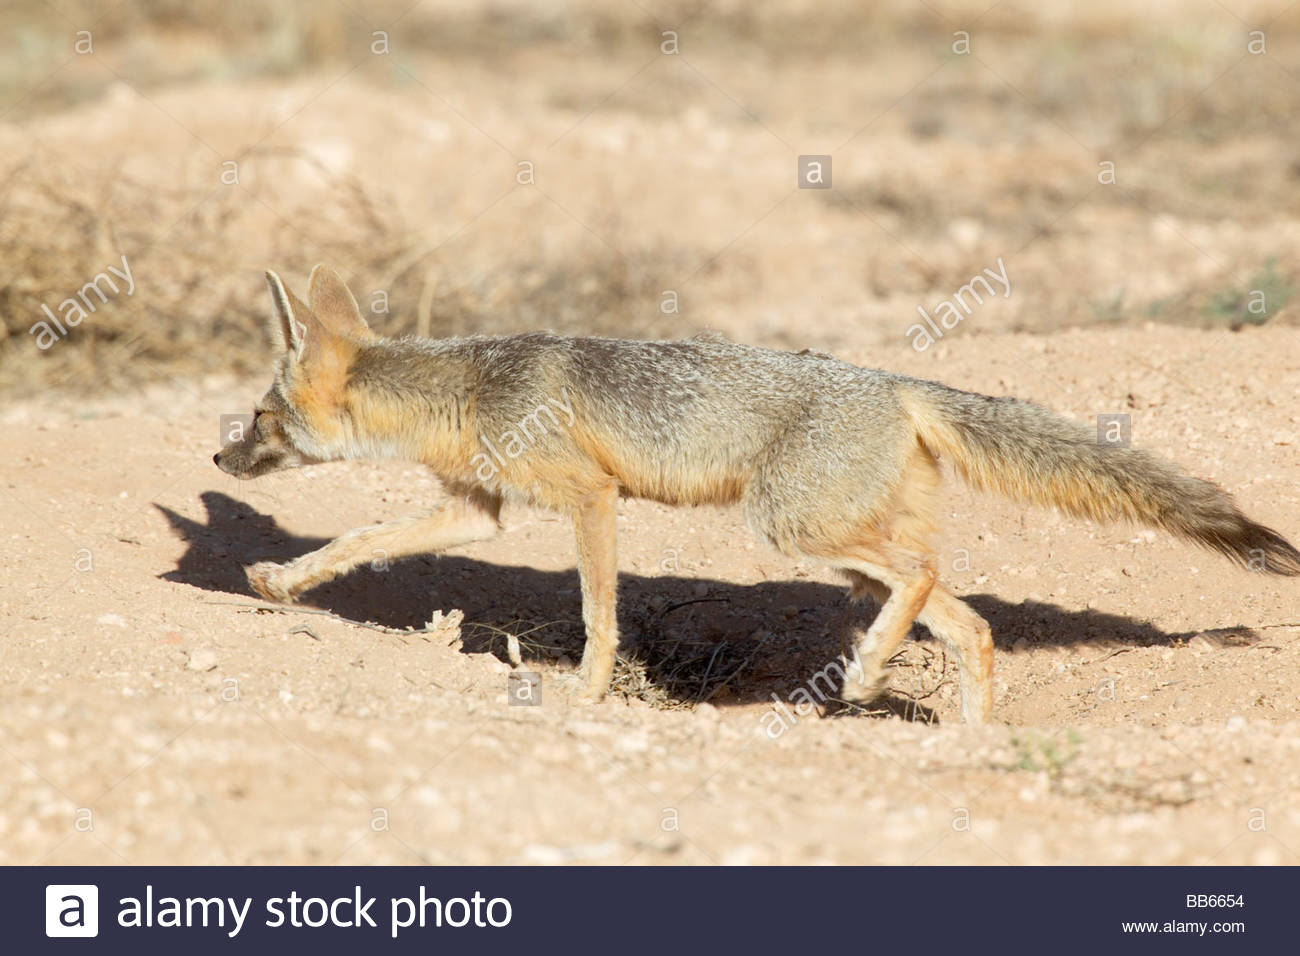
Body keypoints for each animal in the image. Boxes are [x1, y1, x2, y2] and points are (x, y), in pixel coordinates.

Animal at [213, 265, 1300, 724]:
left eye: (260, 414)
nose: (220, 456)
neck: (471, 387)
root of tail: (894, 381)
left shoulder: (589, 497)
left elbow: (600, 614)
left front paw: (589, 693)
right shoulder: (475, 508)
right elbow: (355, 537)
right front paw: (278, 579)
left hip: (791, 527)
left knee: (926, 574)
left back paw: (864, 679)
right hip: (836, 543)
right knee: (972, 620)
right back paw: (961, 742)